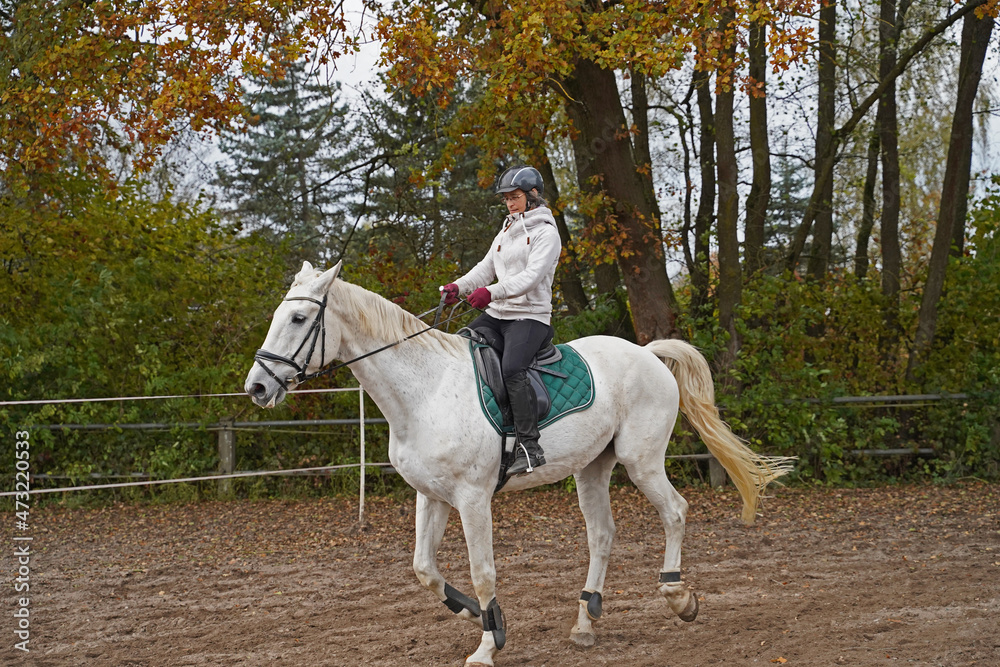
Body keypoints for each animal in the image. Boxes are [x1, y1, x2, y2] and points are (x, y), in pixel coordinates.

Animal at [244, 260, 794, 666]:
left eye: (298, 320)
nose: (257, 387)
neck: (425, 390)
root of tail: (646, 353)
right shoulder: (431, 495)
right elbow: (424, 568)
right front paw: (478, 616)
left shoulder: (471, 499)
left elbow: (483, 571)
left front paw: (488, 645)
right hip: (592, 468)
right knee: (602, 534)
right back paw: (585, 622)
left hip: (641, 461)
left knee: (675, 512)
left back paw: (679, 598)